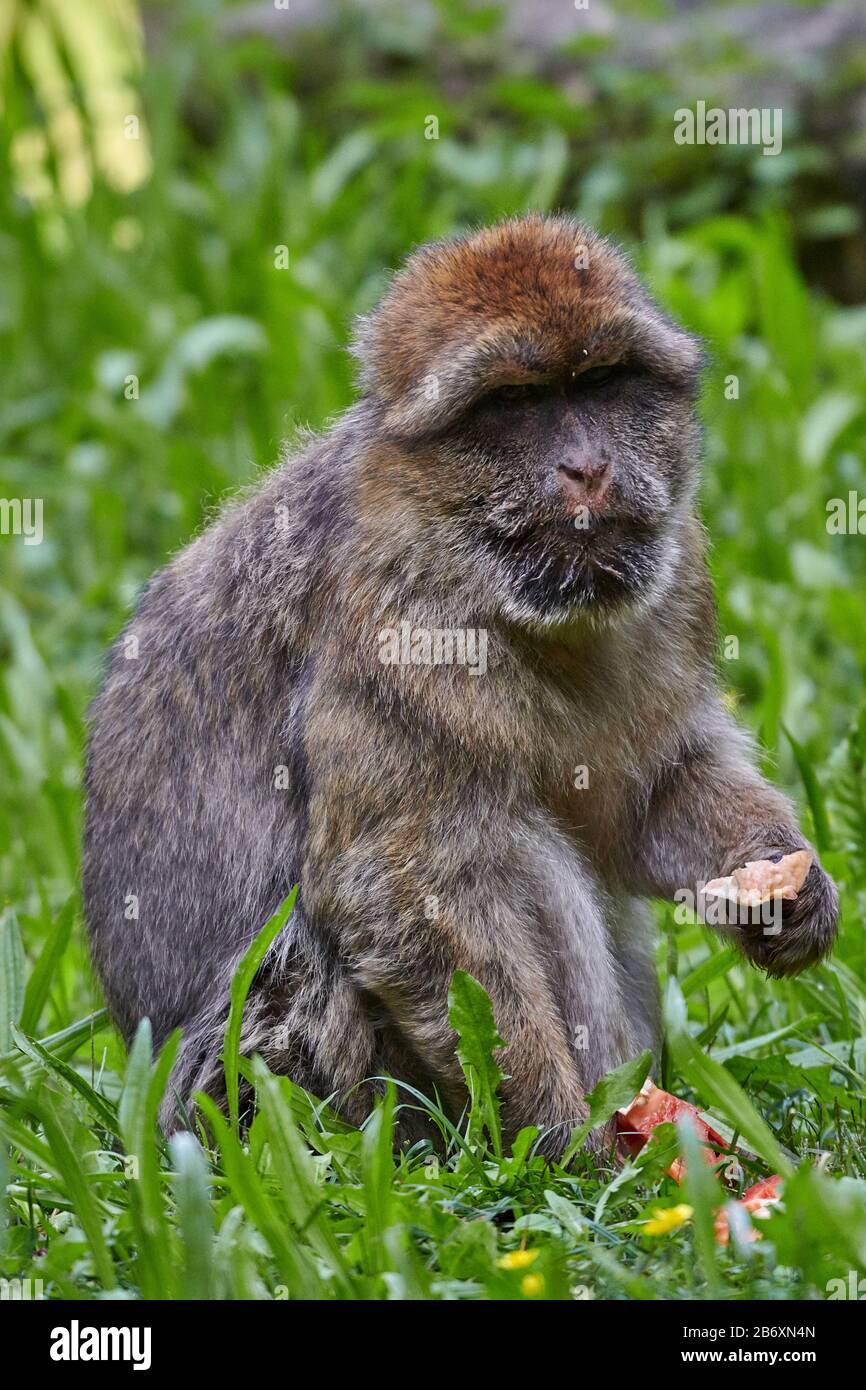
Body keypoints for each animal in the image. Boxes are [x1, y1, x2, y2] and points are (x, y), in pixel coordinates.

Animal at [83, 215, 838, 1154]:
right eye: (516, 404)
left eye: (600, 383)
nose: (587, 467)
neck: (472, 565)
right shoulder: (397, 636)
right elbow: (397, 885)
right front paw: (559, 1141)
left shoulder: (677, 577)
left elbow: (650, 799)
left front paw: (780, 885)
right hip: (281, 1075)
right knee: (512, 859)